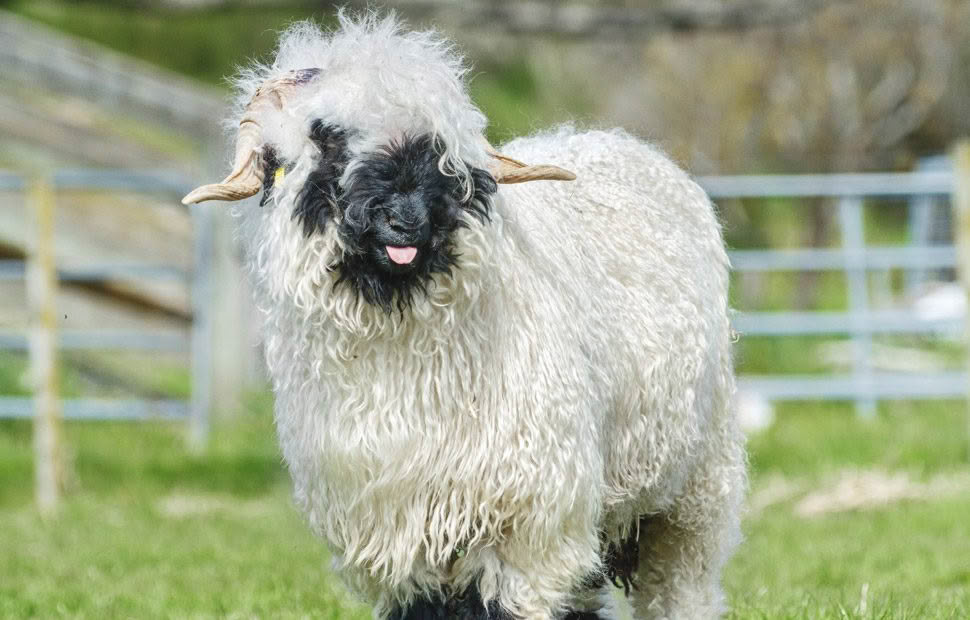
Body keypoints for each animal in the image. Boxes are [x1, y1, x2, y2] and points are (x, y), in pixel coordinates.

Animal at [183, 12, 746, 620]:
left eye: (437, 146)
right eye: (326, 137)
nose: (405, 218)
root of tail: (614, 140)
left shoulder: (530, 521)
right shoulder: (396, 529)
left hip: (694, 489)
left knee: (681, 586)